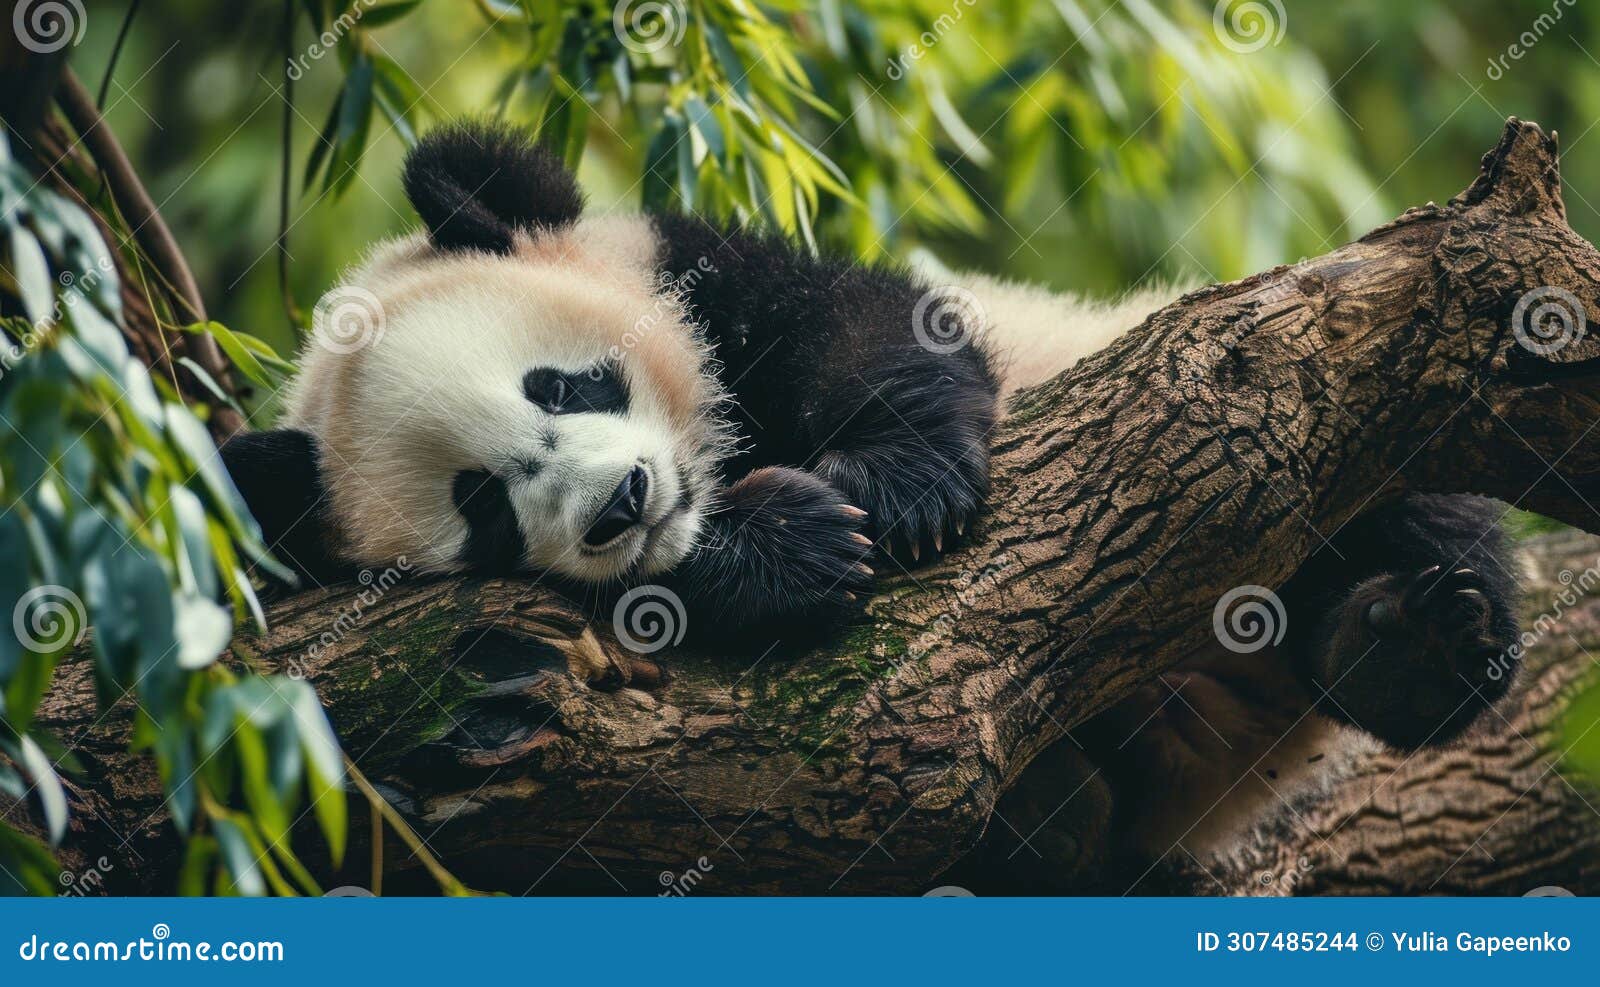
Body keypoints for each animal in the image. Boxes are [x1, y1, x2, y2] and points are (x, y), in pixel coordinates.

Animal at [221, 120, 1520, 888]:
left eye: (567, 383)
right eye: (484, 505)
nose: (623, 503)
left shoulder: (697, 264)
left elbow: (869, 331)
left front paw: (897, 490)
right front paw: (783, 548)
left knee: (1387, 494)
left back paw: (1417, 641)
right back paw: (1061, 811)